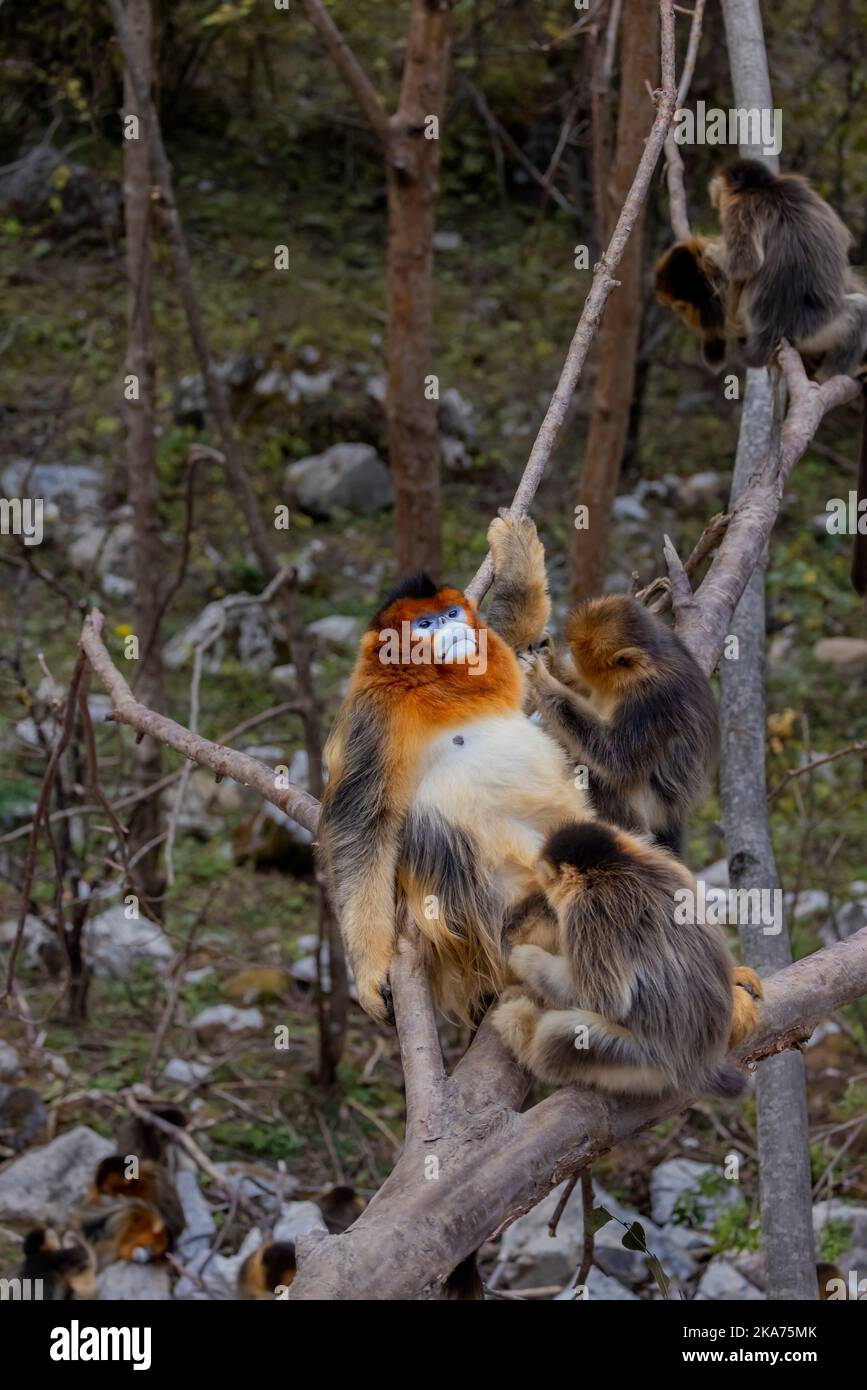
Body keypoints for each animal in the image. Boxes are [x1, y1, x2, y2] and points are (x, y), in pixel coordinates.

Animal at [318, 573, 593, 1024]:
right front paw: (371, 975)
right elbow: (361, 830)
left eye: (450, 613)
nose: (452, 627)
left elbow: (518, 640)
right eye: (425, 624)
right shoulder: (374, 715)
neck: (435, 683)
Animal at [491, 821, 762, 1097]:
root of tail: (700, 1067)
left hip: (644, 1060)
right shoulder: (668, 866)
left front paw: (525, 959)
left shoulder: (585, 910)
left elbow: (605, 1000)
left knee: (559, 1038)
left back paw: (522, 1025)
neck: (614, 866)